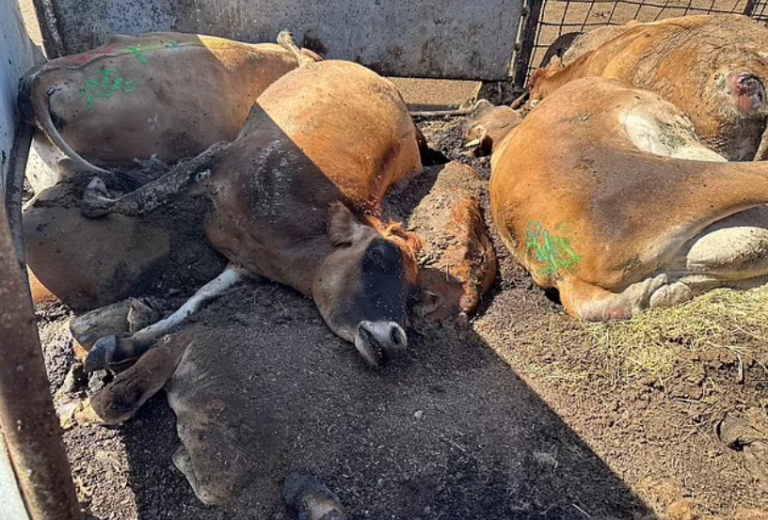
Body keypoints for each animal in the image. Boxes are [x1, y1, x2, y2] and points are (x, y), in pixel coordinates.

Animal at [76, 33, 424, 369]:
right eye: (378, 254)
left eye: (413, 292)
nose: (396, 339)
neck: (292, 236)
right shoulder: (220, 159)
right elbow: (141, 199)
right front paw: (95, 197)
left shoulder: (243, 265)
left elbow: (199, 298)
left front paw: (126, 343)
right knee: (305, 58)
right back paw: (286, 39)